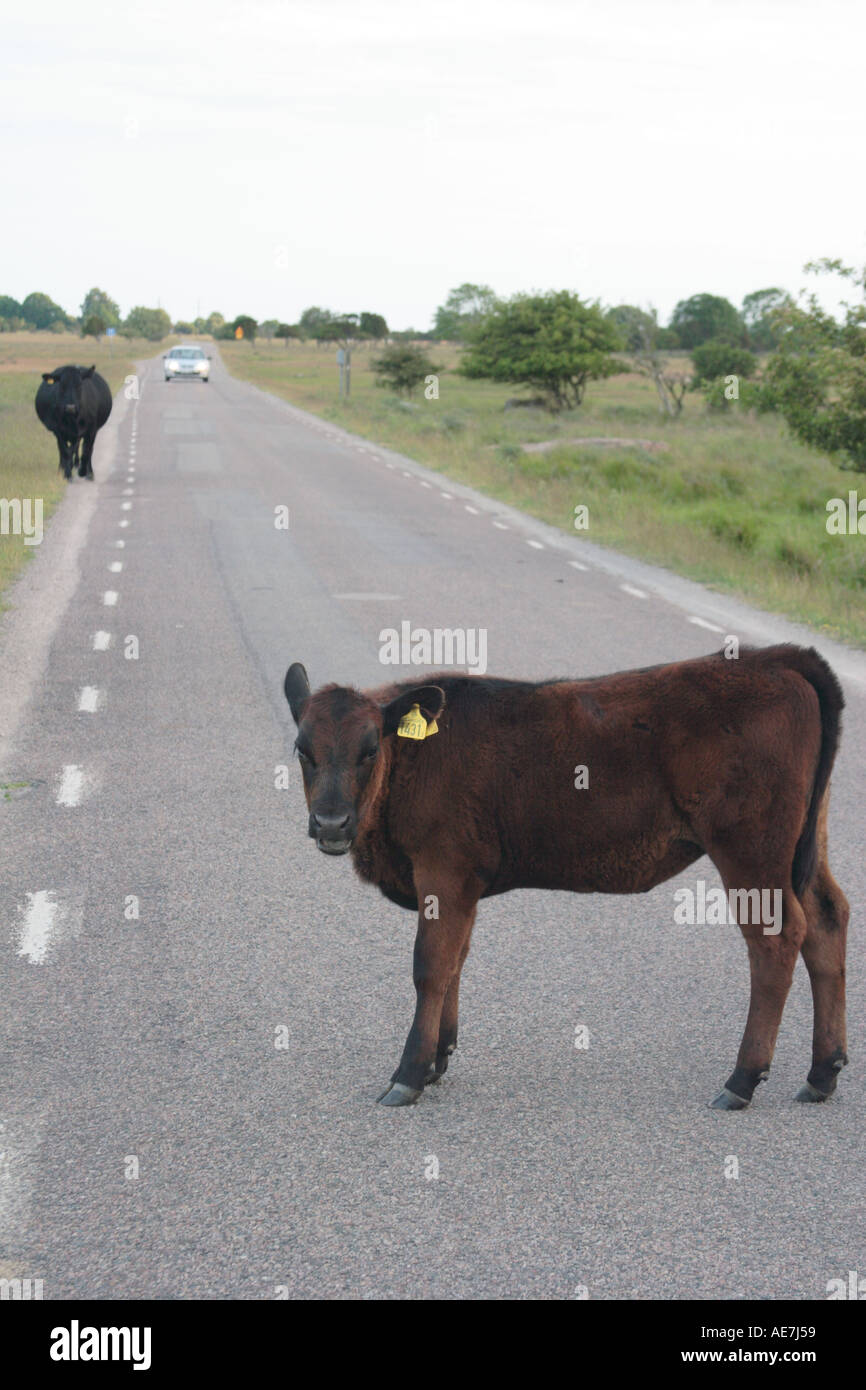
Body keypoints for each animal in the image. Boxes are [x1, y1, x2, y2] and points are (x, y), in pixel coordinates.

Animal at [283, 645, 849, 1111]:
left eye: (370, 750)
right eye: (303, 751)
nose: (331, 823)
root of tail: (775, 657)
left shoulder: (443, 869)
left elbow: (430, 966)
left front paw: (409, 1074)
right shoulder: (464, 883)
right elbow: (456, 961)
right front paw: (440, 1058)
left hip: (751, 852)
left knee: (777, 941)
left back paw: (742, 1081)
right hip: (803, 846)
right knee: (827, 920)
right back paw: (822, 1073)